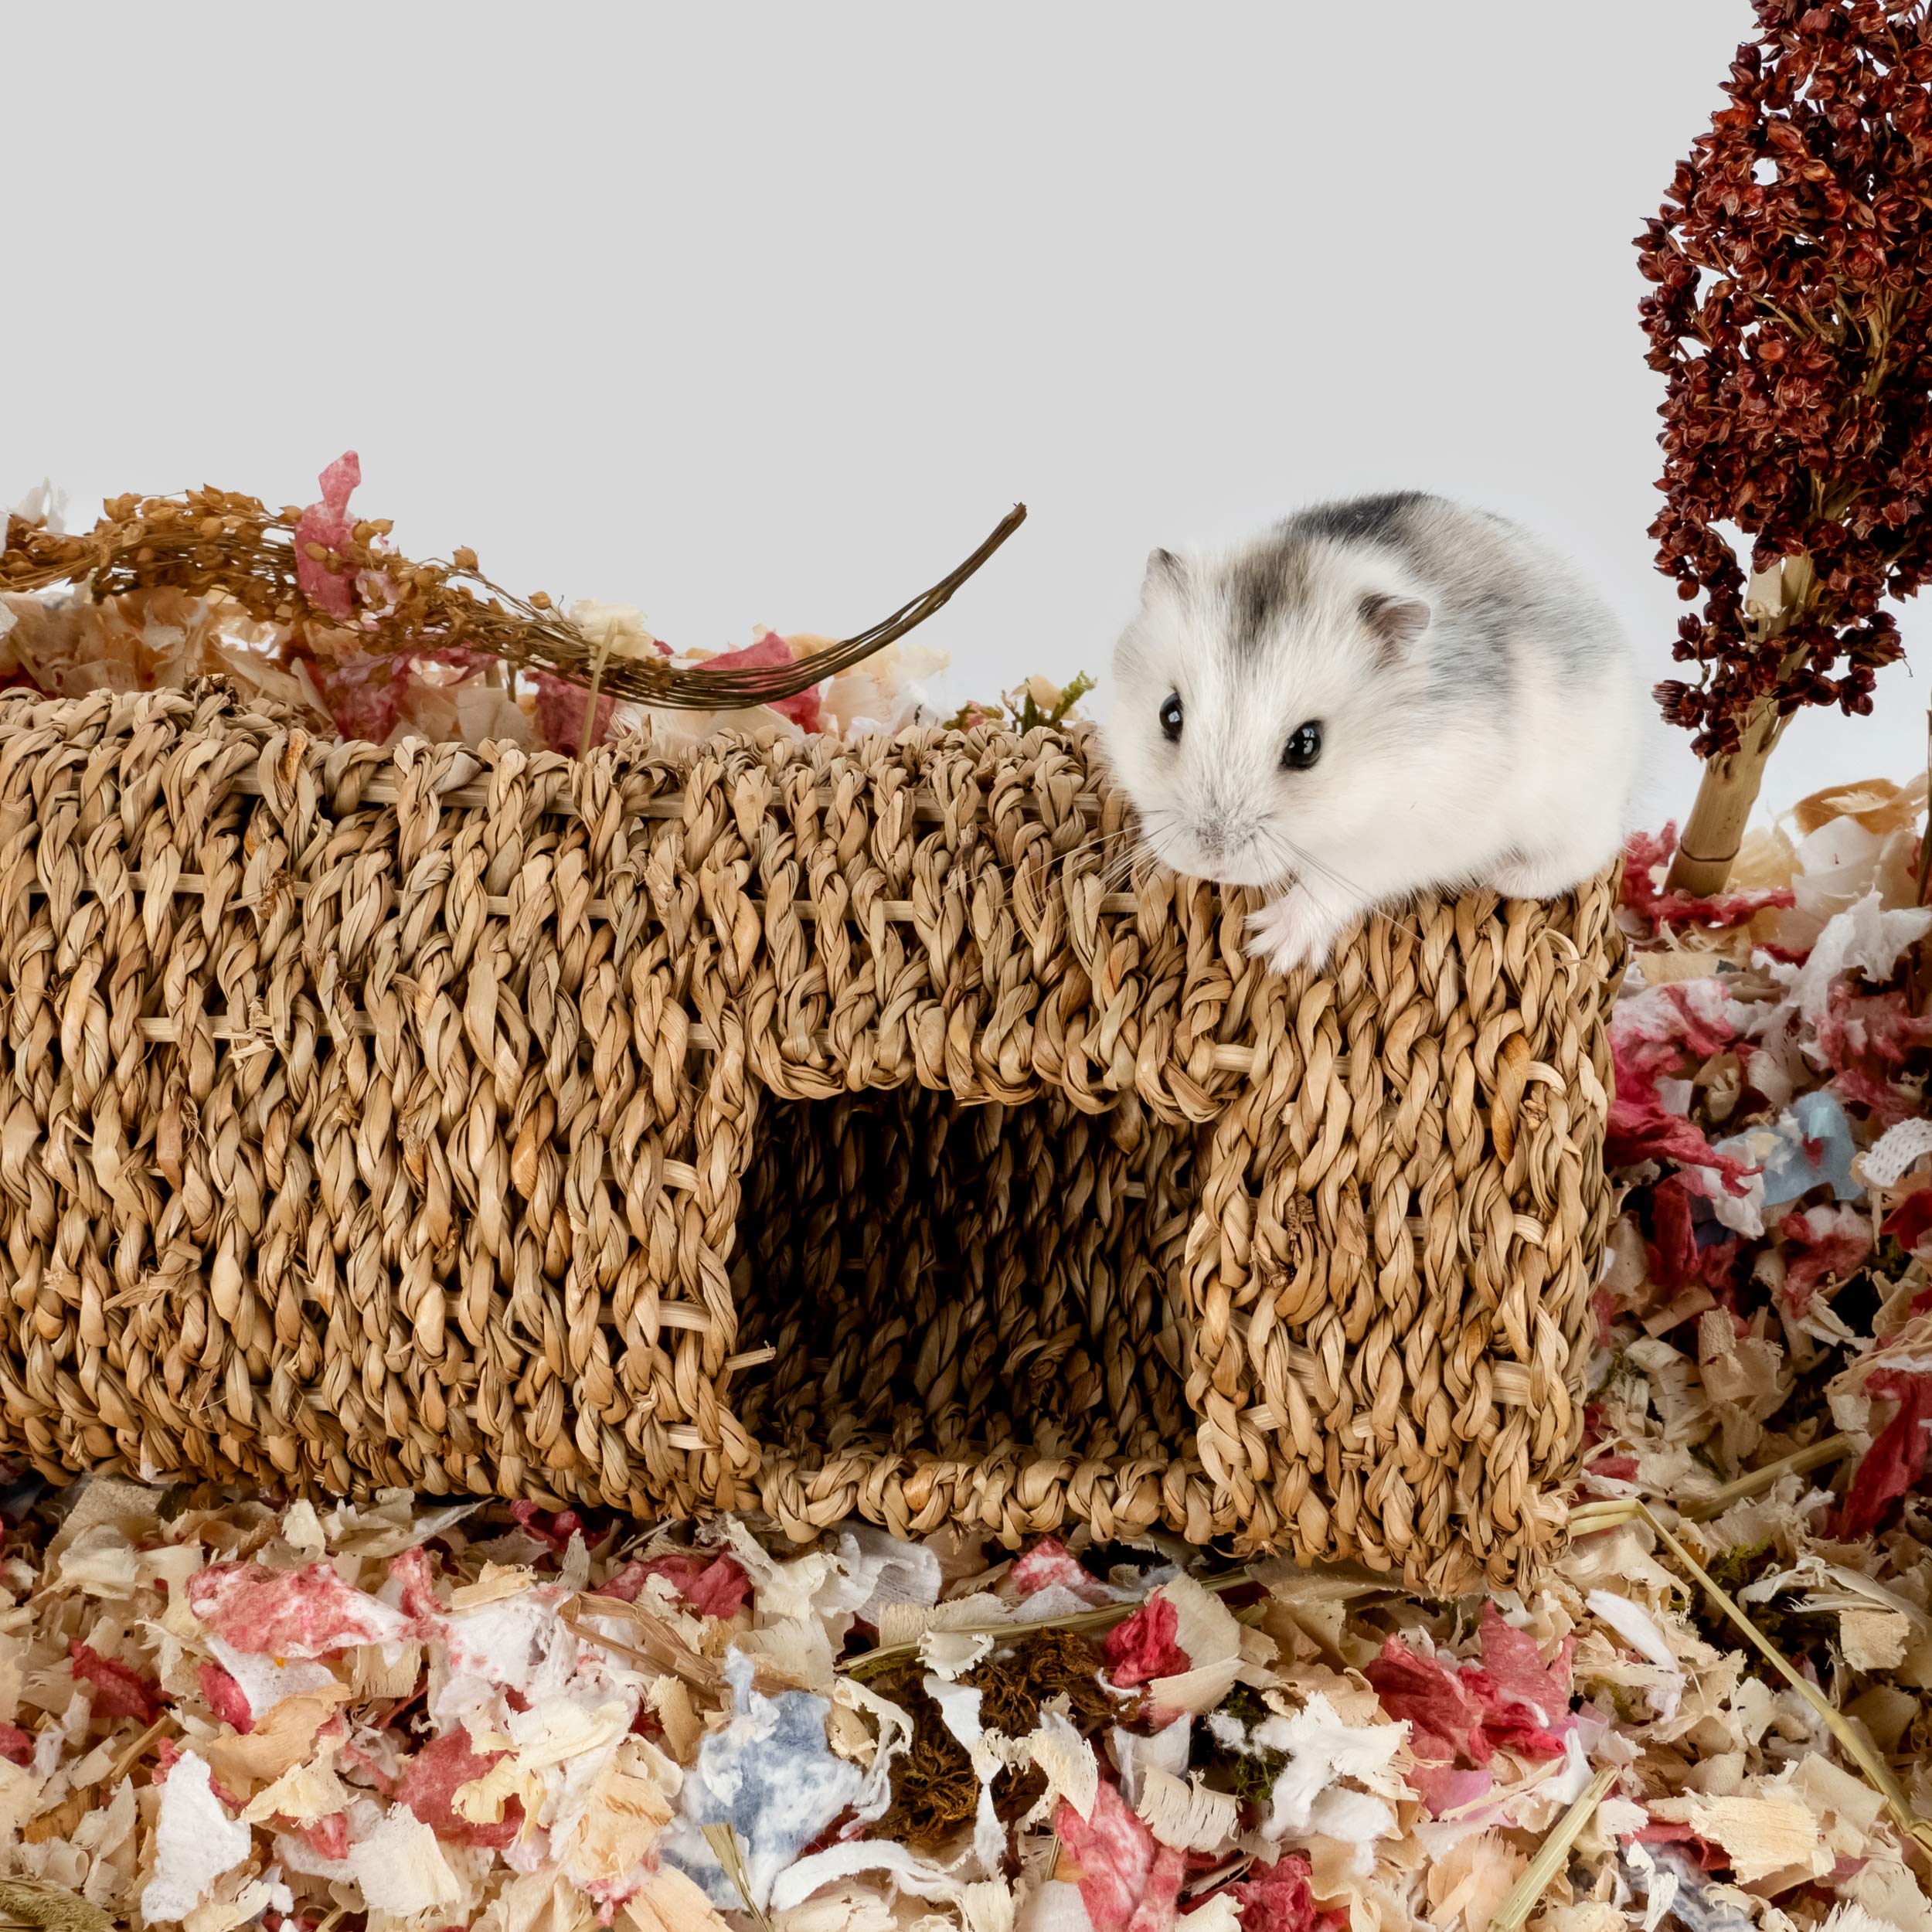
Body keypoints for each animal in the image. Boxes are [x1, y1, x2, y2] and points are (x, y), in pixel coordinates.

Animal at [1101, 492, 1639, 975]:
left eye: (1307, 746)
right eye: (1170, 714)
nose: (1209, 864)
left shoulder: (1404, 840)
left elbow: (1334, 881)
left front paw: (1271, 947)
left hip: (1572, 807)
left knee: (1591, 851)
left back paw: (1506, 877)